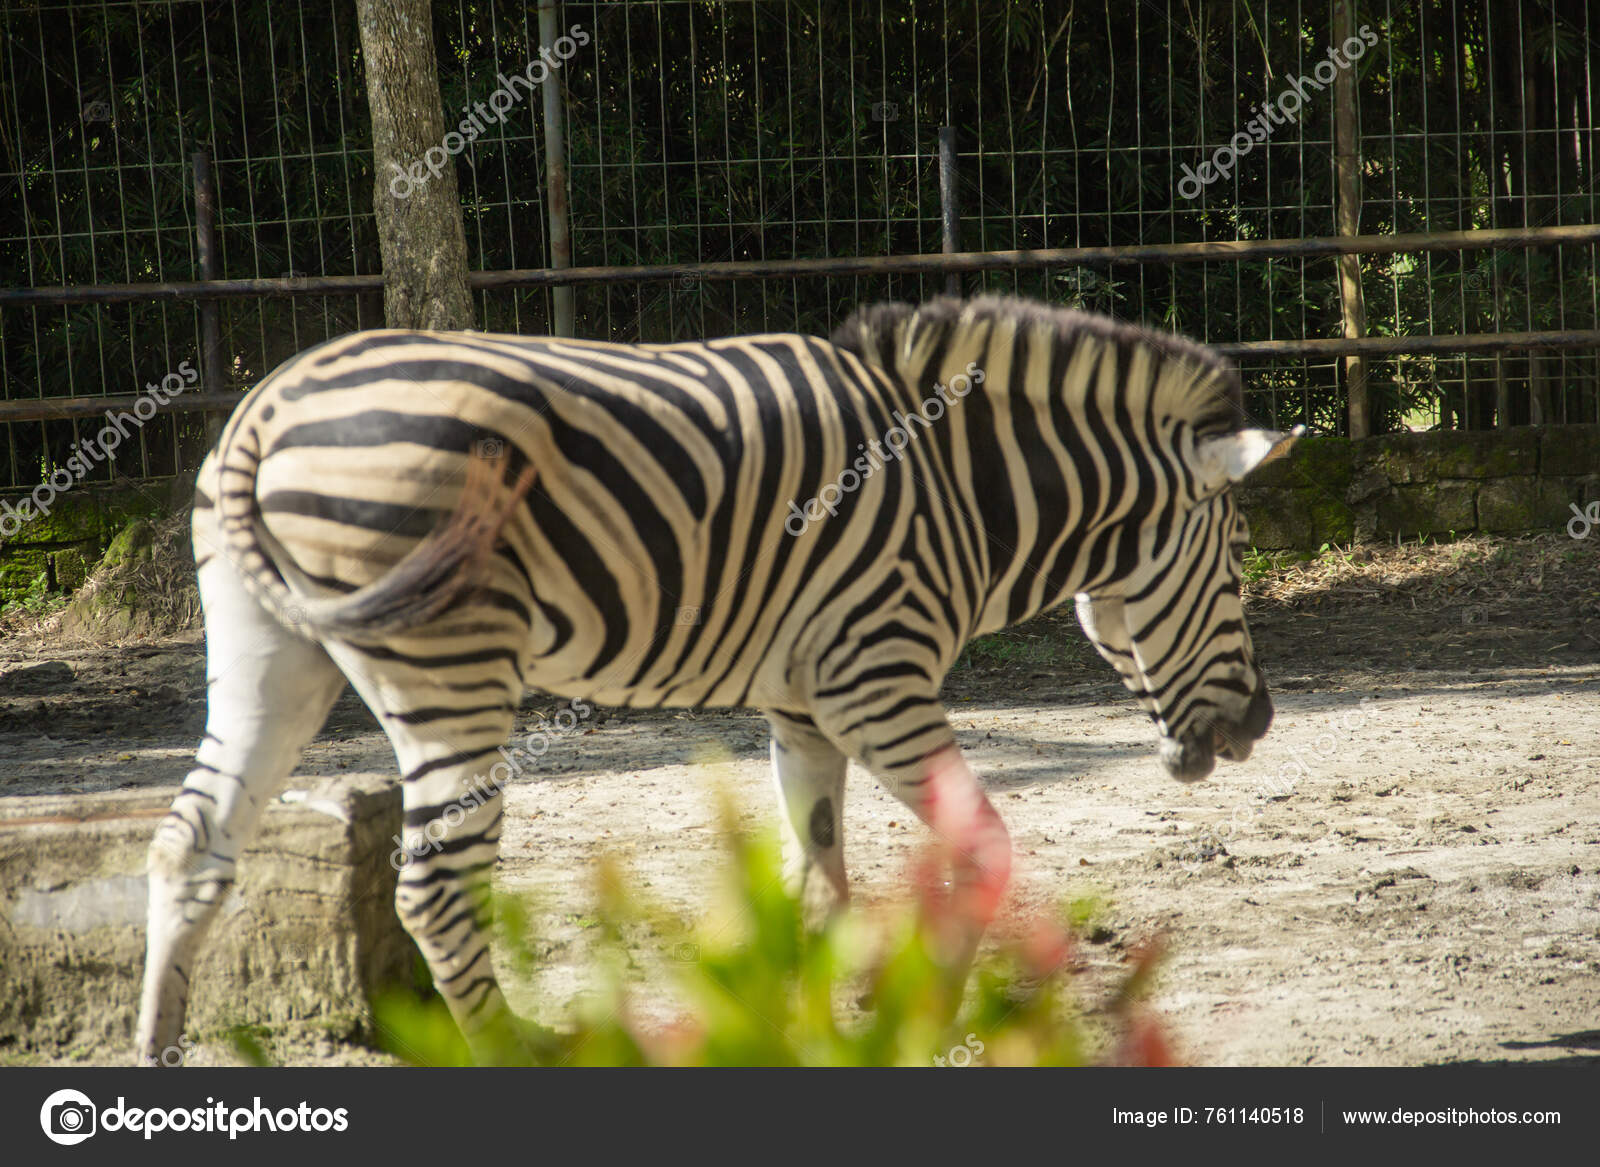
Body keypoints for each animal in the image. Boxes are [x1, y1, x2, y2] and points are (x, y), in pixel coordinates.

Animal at [136, 294, 1296, 1064]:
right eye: (1239, 567)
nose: (1261, 724)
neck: (966, 491)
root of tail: (267, 407)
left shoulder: (804, 704)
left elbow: (815, 884)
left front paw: (819, 1027)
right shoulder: (876, 677)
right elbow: (979, 845)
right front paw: (932, 1018)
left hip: (269, 651)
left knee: (192, 847)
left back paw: (158, 1053)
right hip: (449, 668)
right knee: (435, 884)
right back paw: (512, 1046)